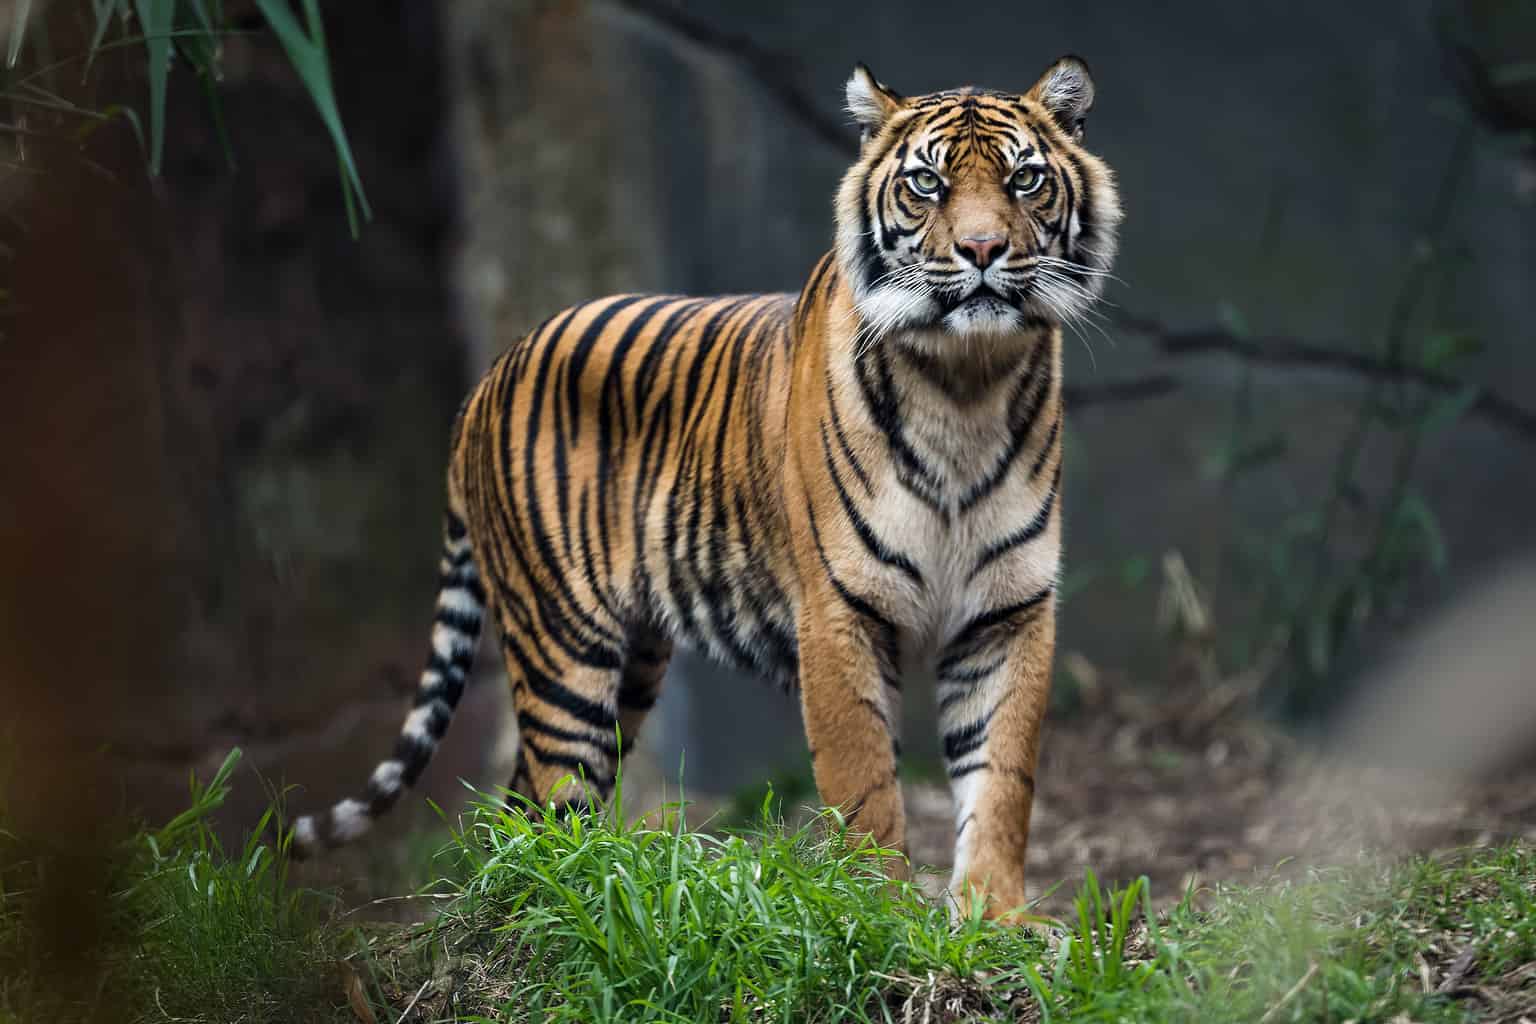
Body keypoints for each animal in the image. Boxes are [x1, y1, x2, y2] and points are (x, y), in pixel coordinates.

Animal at [291, 54, 1121, 922]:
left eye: (1025, 179)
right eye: (927, 183)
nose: (983, 247)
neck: (966, 383)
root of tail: (486, 380)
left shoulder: (1008, 611)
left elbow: (1002, 779)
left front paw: (996, 920)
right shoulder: (838, 612)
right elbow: (866, 785)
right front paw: (879, 915)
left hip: (633, 660)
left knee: (522, 803)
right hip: (563, 648)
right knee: (552, 792)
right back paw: (568, 901)